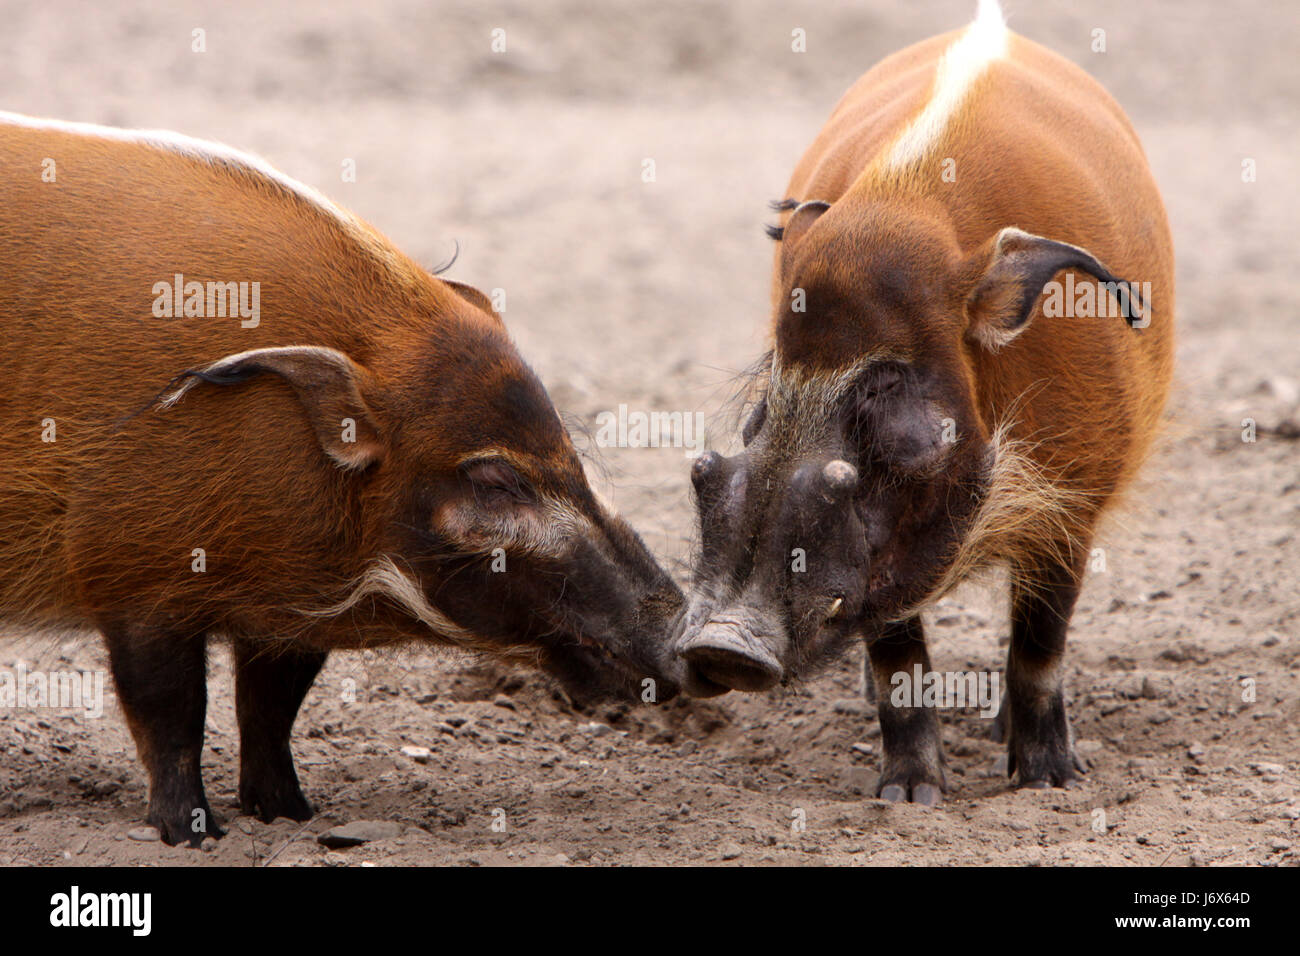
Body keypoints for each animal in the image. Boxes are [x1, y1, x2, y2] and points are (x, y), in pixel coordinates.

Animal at [0, 111, 683, 845]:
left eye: (569, 453)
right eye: (494, 480)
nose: (685, 643)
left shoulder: (285, 614)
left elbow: (271, 710)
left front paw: (290, 815)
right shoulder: (136, 581)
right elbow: (171, 715)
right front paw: (192, 834)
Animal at [676, 0, 1173, 805]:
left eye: (886, 386)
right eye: (771, 389)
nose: (722, 645)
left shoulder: (1074, 499)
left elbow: (1041, 644)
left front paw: (1048, 784)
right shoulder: (873, 552)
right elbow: (897, 662)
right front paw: (909, 798)